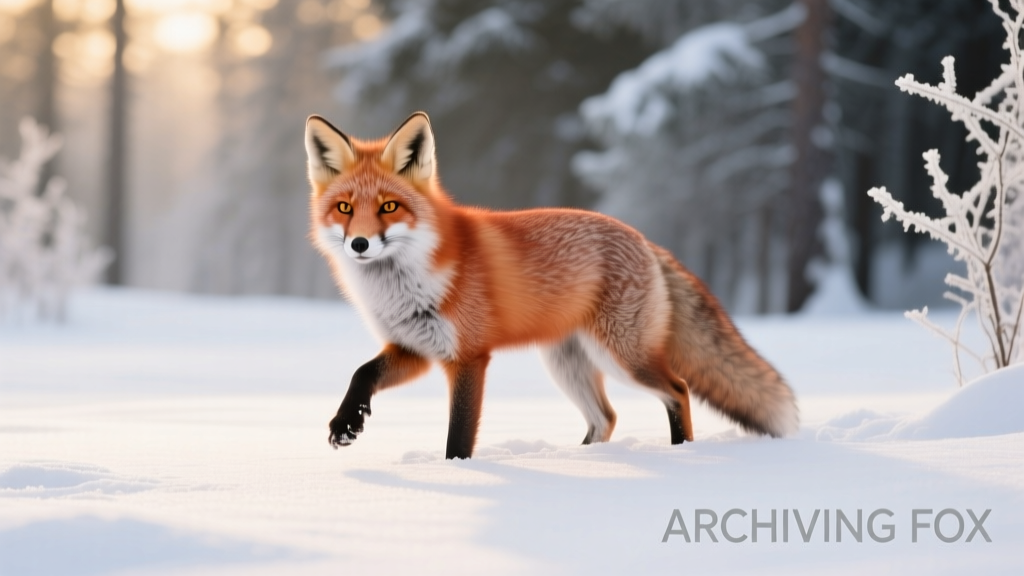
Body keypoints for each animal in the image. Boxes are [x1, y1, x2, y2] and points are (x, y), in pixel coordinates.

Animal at [304, 112, 798, 459]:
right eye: (345, 208)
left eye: (389, 206)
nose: (360, 244)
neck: (404, 286)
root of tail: (644, 240)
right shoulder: (415, 348)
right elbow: (362, 372)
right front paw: (346, 423)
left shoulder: (468, 357)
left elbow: (458, 438)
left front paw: (458, 473)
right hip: (567, 364)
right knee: (607, 417)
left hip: (624, 356)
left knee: (677, 390)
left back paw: (681, 454)